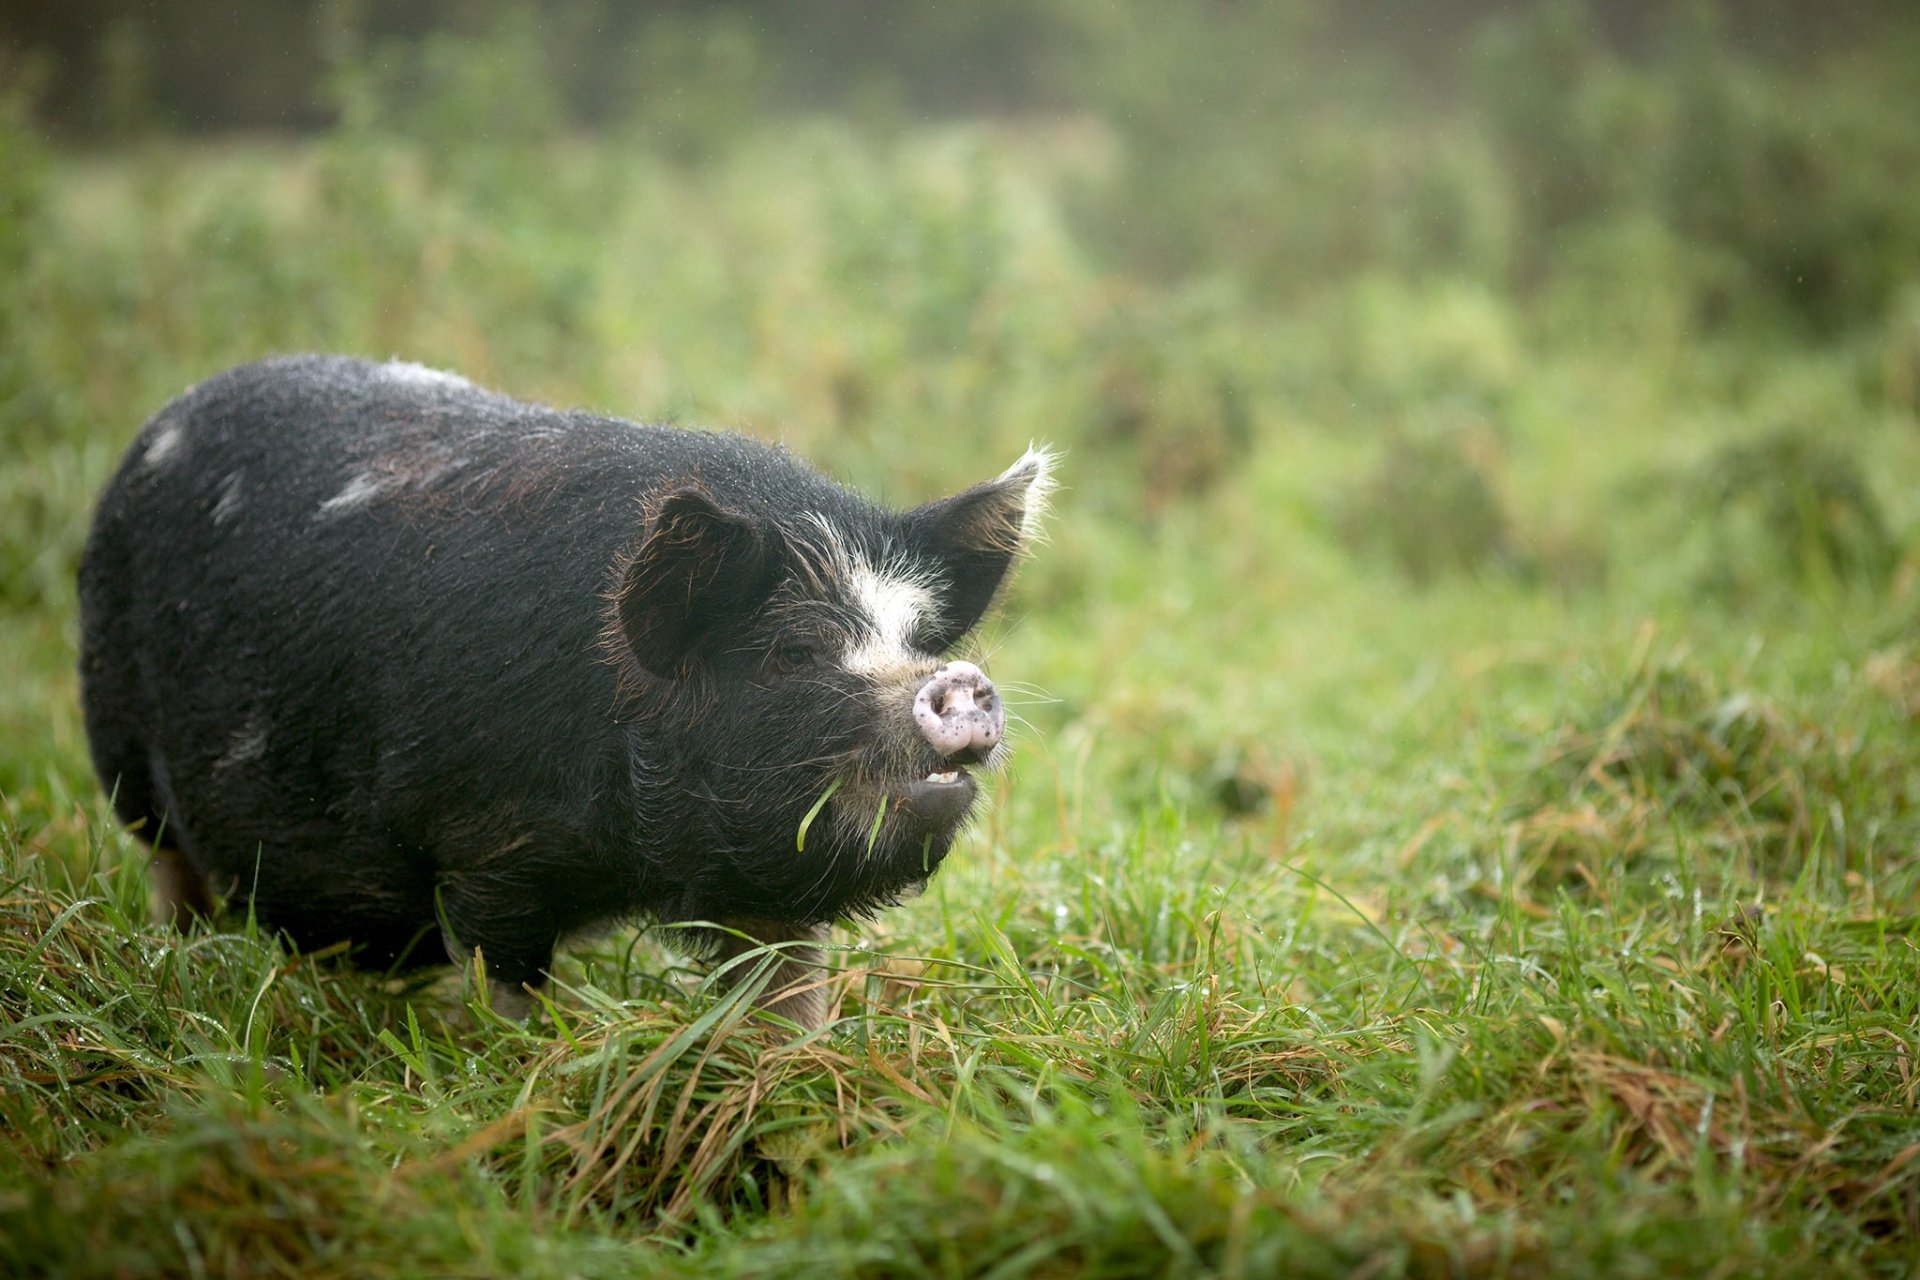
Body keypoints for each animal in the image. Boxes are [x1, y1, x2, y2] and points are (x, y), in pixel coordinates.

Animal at [77, 355, 1053, 1028]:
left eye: (918, 639)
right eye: (791, 652)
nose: (960, 682)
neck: (634, 857)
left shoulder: (766, 886)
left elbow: (784, 993)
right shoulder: (483, 846)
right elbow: (504, 980)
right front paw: (528, 1065)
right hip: (120, 750)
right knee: (168, 863)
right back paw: (179, 960)